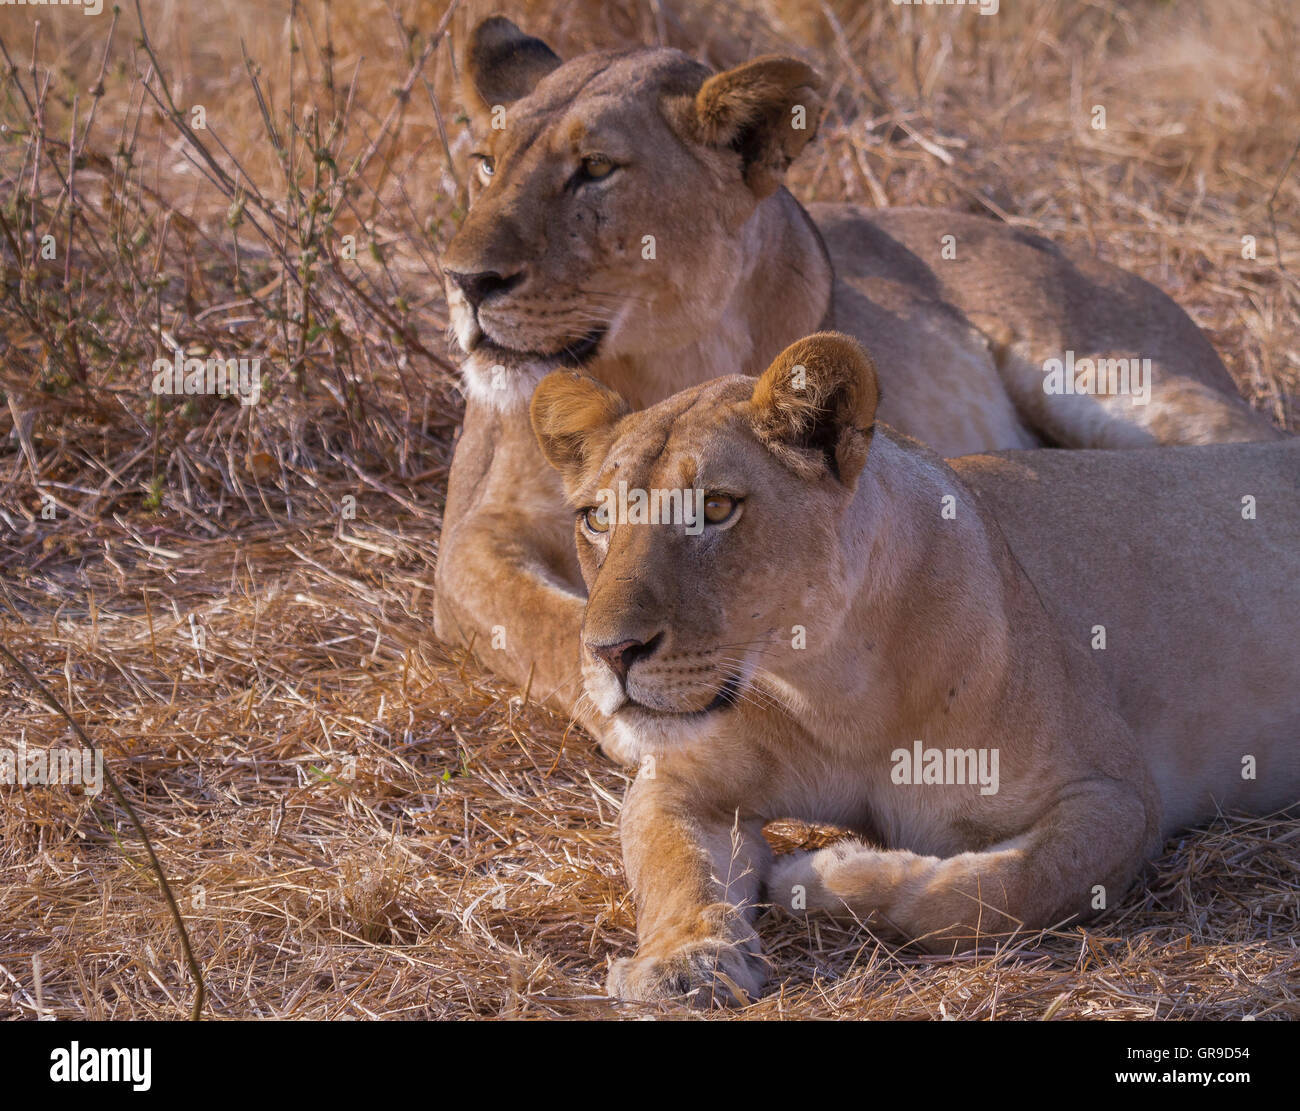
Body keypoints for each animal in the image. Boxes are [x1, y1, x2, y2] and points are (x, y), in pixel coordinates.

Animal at [433, 16, 1283, 742]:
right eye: (484, 164)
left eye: (596, 170)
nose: (464, 280)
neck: (655, 360)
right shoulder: (471, 539)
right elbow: (550, 624)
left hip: (1114, 378)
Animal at [529, 332, 1300, 1005]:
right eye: (597, 517)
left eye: (716, 508)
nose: (608, 651)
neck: (835, 687)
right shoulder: (682, 782)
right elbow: (677, 871)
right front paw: (686, 961)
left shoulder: (1118, 796)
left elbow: (996, 890)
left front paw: (817, 873)